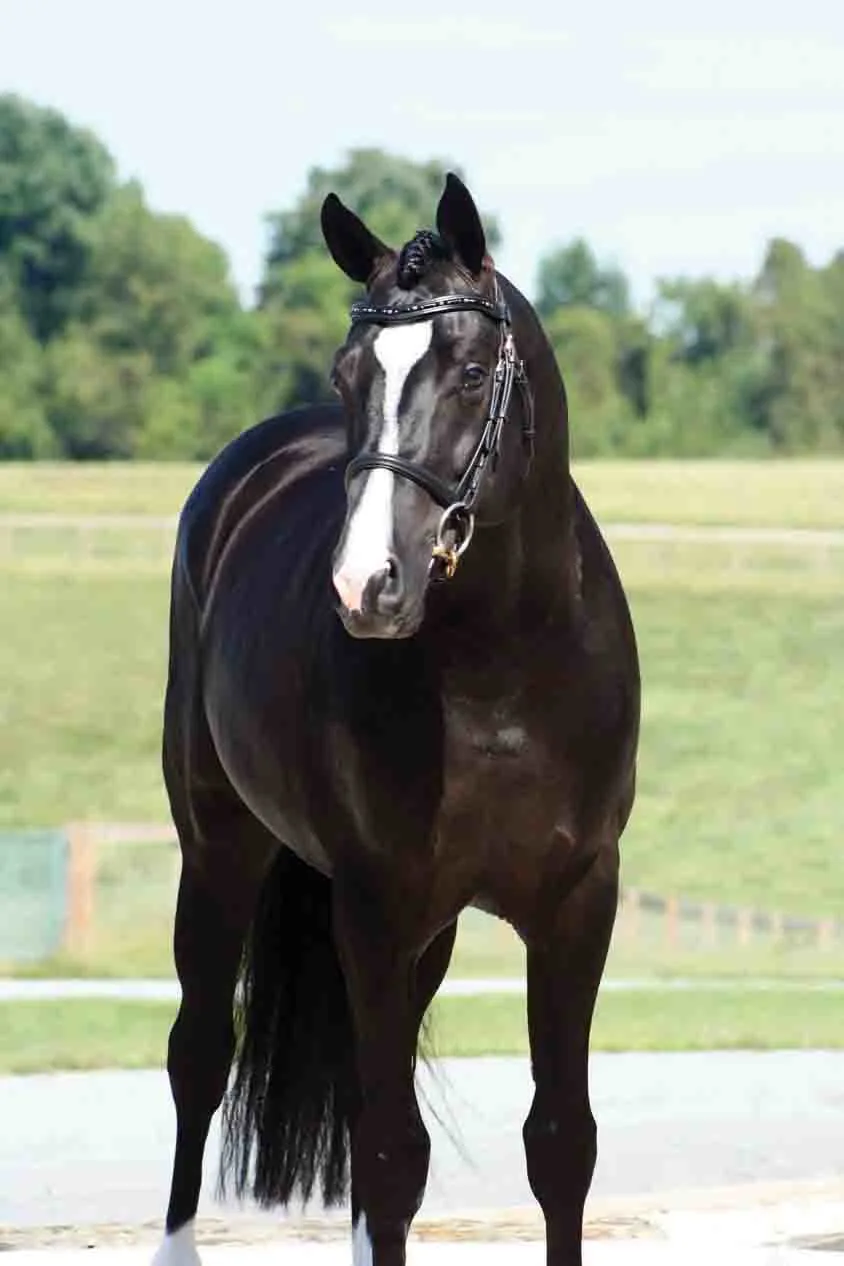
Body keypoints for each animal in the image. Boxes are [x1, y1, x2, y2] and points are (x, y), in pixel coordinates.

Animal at [153, 173, 640, 1266]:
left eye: (471, 374)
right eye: (348, 375)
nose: (365, 584)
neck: (505, 669)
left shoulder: (577, 902)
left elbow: (562, 1144)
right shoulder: (374, 907)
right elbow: (387, 1153)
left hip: (431, 933)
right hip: (218, 846)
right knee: (199, 1056)